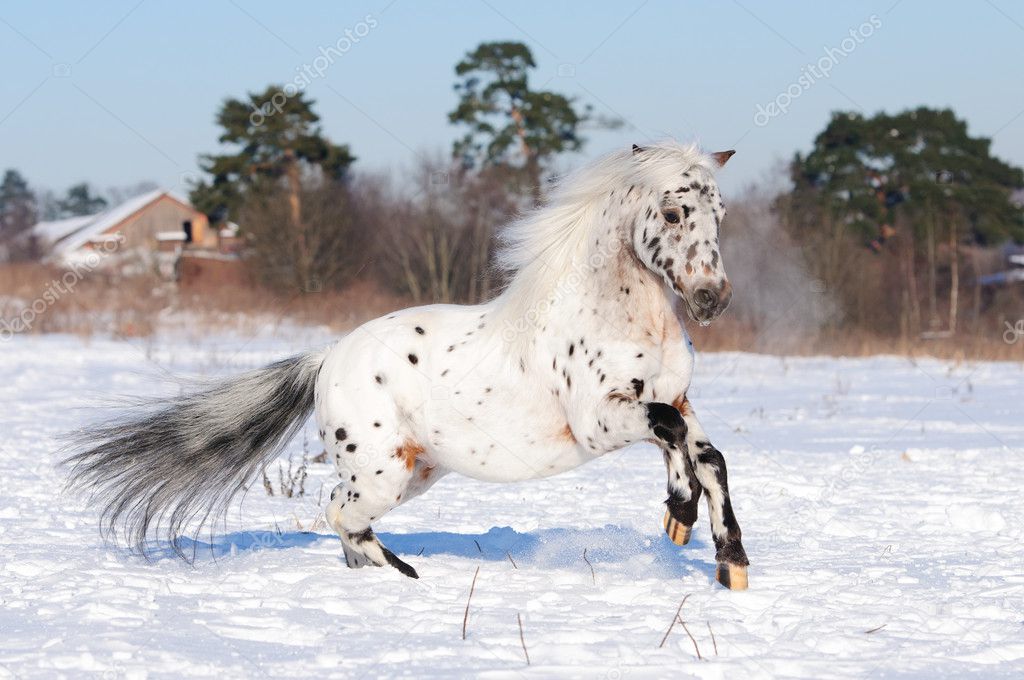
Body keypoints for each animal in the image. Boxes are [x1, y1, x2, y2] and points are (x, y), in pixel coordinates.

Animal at [66, 141, 750, 590]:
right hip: (381, 474)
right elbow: (671, 434)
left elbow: (703, 452)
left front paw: (723, 556)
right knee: (338, 514)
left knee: (342, 518)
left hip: (413, 472)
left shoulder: (677, 399)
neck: (621, 318)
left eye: (720, 215)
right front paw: (684, 517)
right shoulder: (598, 422)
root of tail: (327, 357)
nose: (712, 299)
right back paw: (403, 574)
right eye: (672, 213)